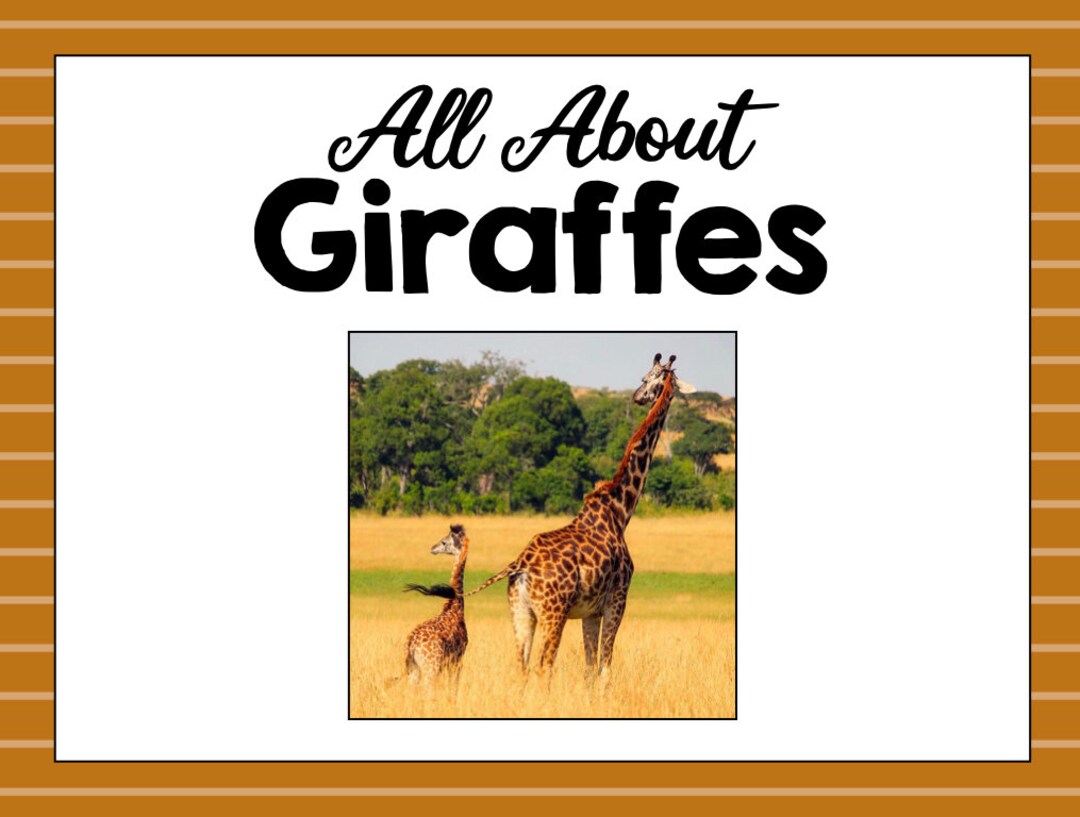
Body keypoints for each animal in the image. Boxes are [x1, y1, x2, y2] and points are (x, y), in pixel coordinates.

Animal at [402, 524, 469, 684]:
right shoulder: (458, 657)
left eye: (444, 542)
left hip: (414, 671)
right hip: (431, 669)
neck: (454, 605)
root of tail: (411, 644)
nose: (433, 548)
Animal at [467, 354, 695, 677]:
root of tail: (519, 565)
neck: (620, 510)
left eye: (650, 378)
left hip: (521, 612)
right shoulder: (617, 601)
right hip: (554, 612)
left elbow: (589, 668)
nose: (638, 396)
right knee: (544, 666)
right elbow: (605, 668)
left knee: (522, 667)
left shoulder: (590, 612)